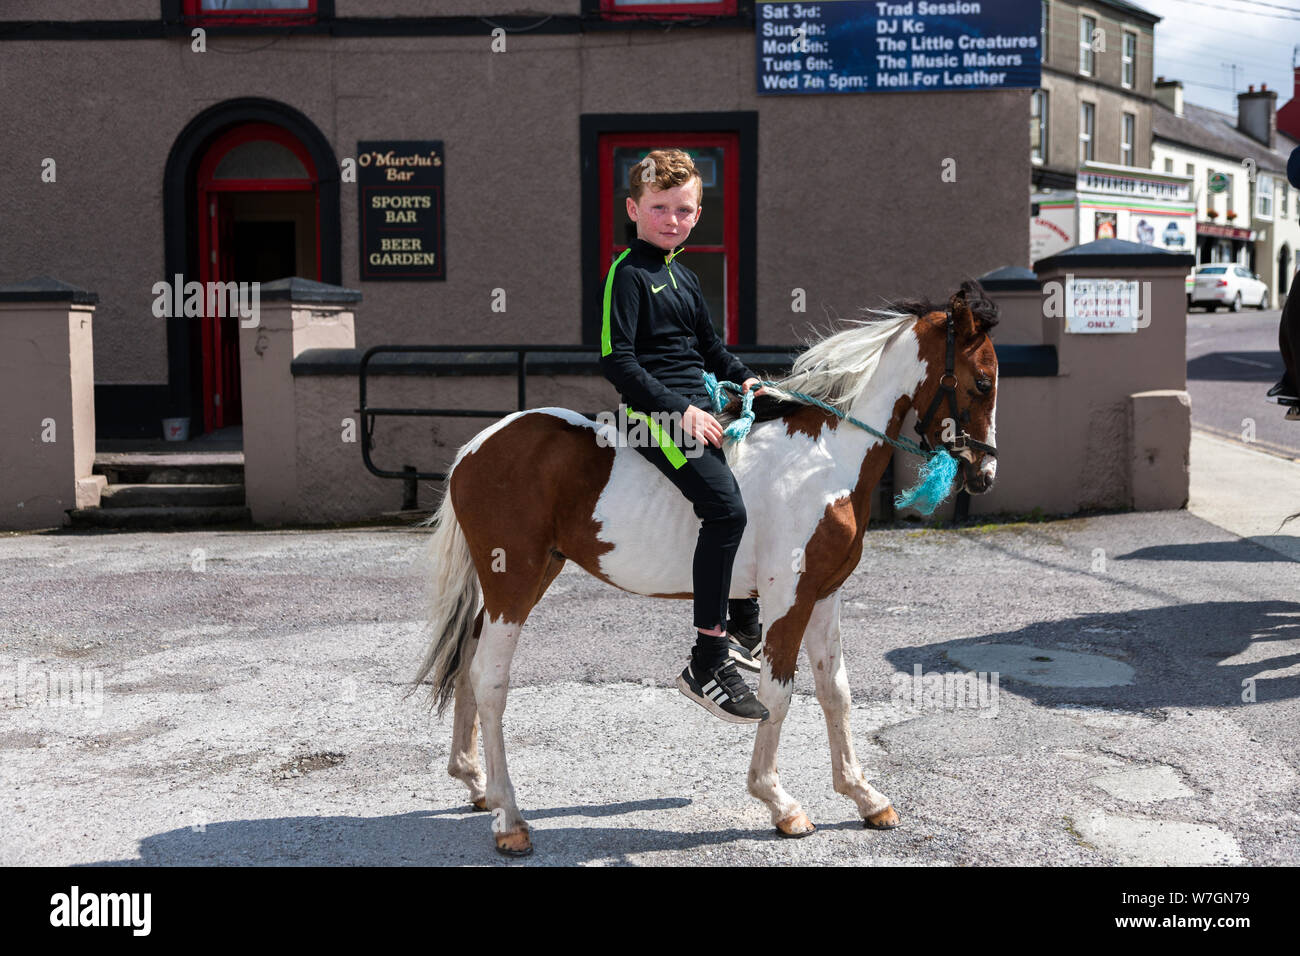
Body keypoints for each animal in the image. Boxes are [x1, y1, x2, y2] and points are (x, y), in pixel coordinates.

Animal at [414, 279, 1000, 856]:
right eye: (983, 381)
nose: (985, 474)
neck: (824, 456)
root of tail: (478, 445)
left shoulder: (824, 595)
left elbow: (836, 692)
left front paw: (865, 796)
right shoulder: (788, 597)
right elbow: (778, 696)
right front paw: (779, 803)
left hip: (527, 578)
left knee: (468, 659)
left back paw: (475, 783)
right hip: (513, 580)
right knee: (490, 678)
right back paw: (510, 820)